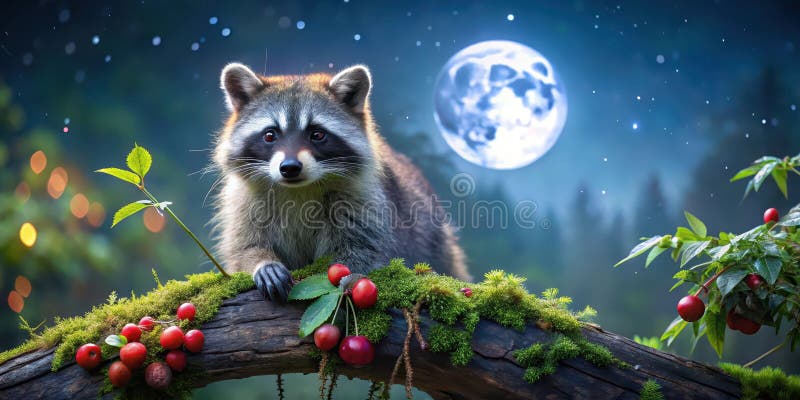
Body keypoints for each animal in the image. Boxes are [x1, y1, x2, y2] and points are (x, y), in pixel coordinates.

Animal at [212, 63, 469, 302]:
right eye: (269, 135)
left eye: (317, 134)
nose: (290, 167)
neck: (298, 189)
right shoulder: (244, 201)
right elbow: (242, 246)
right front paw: (262, 262)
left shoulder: (365, 199)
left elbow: (363, 250)